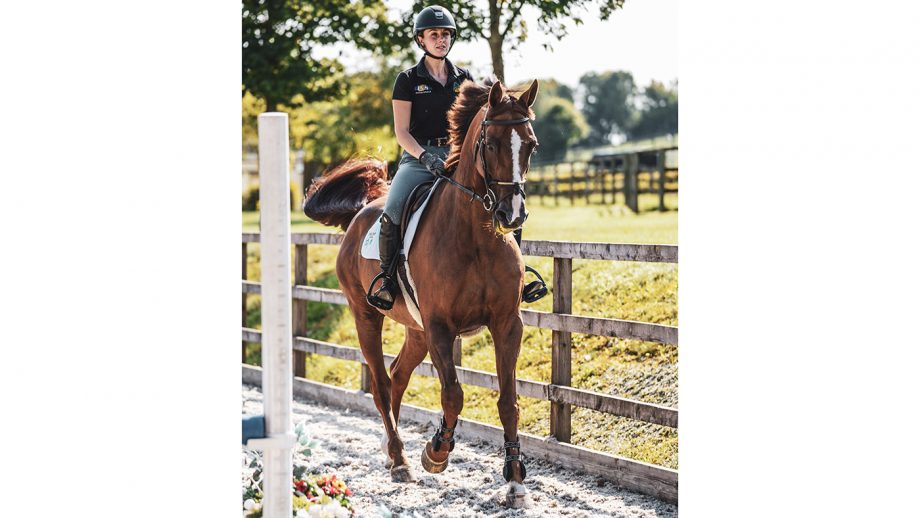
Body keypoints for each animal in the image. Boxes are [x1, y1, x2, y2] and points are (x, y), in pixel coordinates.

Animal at [302, 79, 540, 508]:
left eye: (530, 144)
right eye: (491, 143)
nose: (511, 215)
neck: (476, 234)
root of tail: (361, 213)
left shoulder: (506, 324)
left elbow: (508, 402)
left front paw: (515, 481)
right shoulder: (440, 326)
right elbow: (453, 395)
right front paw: (437, 452)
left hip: (415, 330)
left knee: (397, 376)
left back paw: (390, 448)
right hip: (367, 316)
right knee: (381, 383)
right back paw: (400, 460)